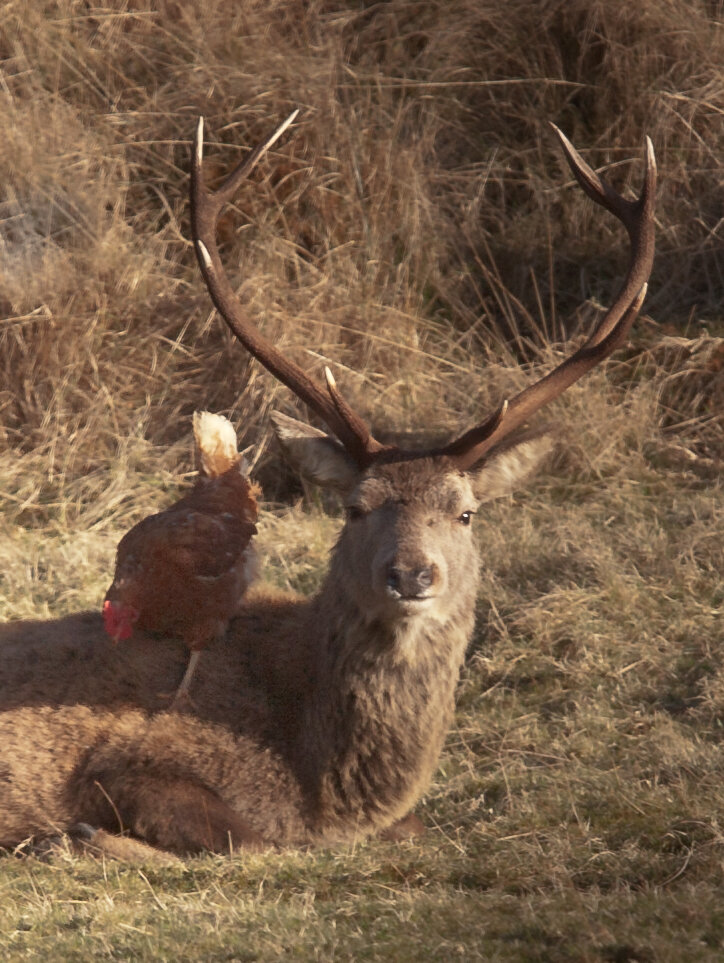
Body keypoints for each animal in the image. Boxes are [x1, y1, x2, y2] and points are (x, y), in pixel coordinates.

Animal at [0, 111, 655, 862]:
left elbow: (404, 826)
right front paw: (74, 837)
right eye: (355, 508)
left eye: (465, 513)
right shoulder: (128, 757)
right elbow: (247, 838)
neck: (321, 778)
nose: (411, 573)